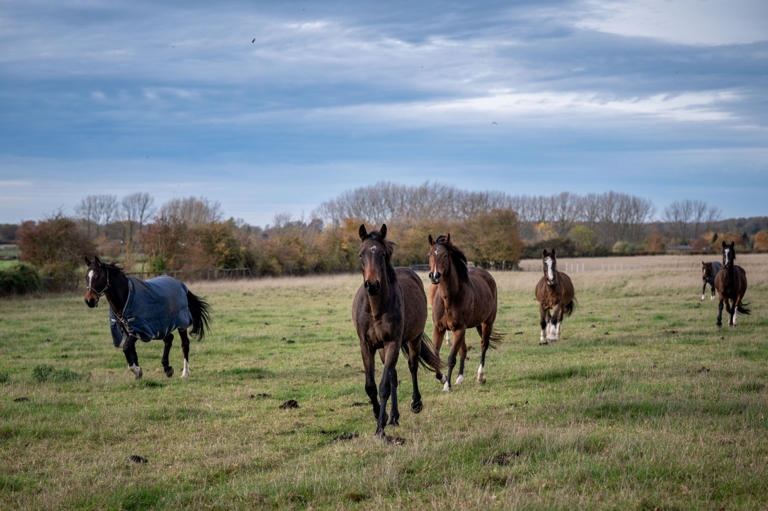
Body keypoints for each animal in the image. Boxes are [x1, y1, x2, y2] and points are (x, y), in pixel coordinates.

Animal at [352, 224, 441, 438]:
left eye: (383, 254)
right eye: (361, 254)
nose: (372, 284)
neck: (376, 309)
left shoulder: (393, 342)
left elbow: (383, 386)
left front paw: (380, 428)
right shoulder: (367, 346)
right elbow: (371, 386)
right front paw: (381, 415)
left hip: (412, 339)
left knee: (412, 367)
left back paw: (415, 403)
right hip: (383, 349)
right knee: (393, 376)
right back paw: (394, 417)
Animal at [428, 234, 501, 391]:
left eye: (445, 255)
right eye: (430, 254)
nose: (435, 276)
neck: (448, 298)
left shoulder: (459, 329)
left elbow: (451, 358)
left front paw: (447, 386)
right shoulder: (439, 328)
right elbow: (436, 356)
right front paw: (443, 378)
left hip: (487, 322)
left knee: (484, 345)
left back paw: (480, 376)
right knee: (464, 350)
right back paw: (459, 378)